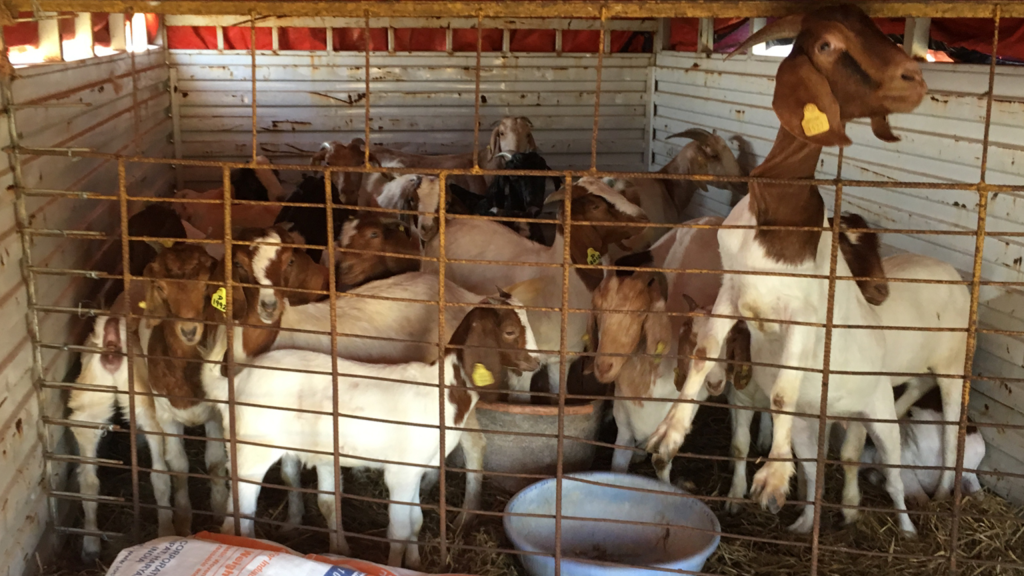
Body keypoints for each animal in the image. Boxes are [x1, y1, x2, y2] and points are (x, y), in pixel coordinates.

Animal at [138, 243, 228, 533]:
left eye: (206, 285)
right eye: (160, 287)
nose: (189, 330)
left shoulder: (215, 415)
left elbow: (215, 463)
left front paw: (219, 513)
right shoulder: (166, 416)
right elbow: (178, 465)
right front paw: (183, 520)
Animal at [200, 292, 540, 568]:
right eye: (509, 331)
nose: (536, 361)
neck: (443, 388)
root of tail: (236, 381)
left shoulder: (417, 469)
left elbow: (416, 522)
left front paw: (415, 562)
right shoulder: (400, 472)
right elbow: (399, 530)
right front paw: (396, 565)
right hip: (251, 451)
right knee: (239, 513)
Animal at [424, 177, 649, 403]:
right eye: (595, 206)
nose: (643, 217)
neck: (560, 283)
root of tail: (450, 224)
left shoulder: (561, 359)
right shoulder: (521, 365)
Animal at [646, 5, 935, 535]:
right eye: (826, 44)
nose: (915, 78)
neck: (777, 212)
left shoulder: (803, 313)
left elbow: (781, 389)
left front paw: (773, 479)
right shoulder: (731, 293)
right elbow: (703, 353)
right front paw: (668, 435)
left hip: (880, 414)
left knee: (887, 466)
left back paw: (899, 526)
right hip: (821, 420)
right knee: (822, 461)